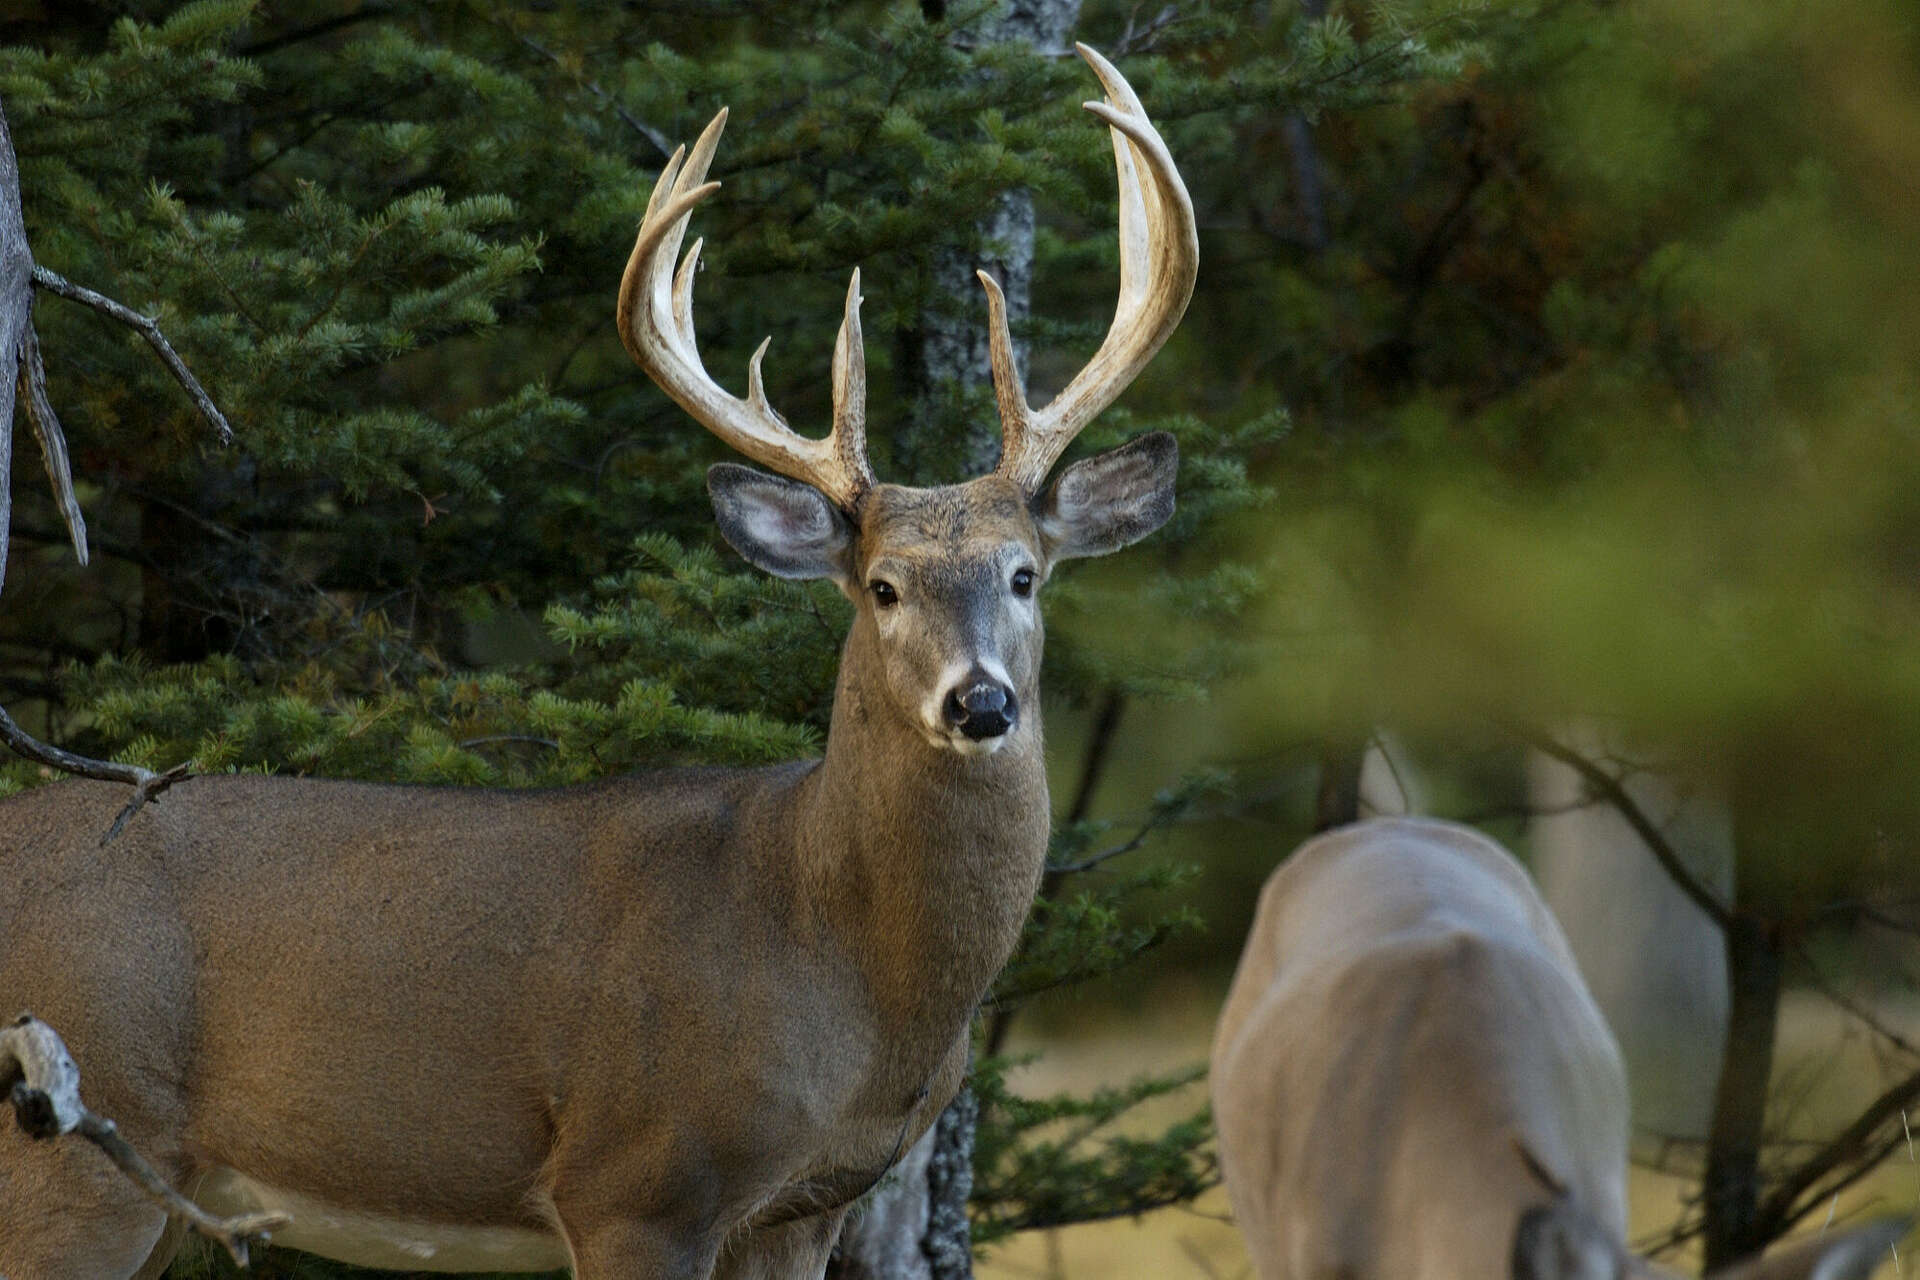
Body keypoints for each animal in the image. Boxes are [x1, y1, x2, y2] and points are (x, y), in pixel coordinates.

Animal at [0, 42, 1196, 1280]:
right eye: (882, 585)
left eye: (1025, 574)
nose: (981, 700)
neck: (845, 961)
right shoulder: (636, 1176)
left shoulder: (806, 1204)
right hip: (75, 1143)